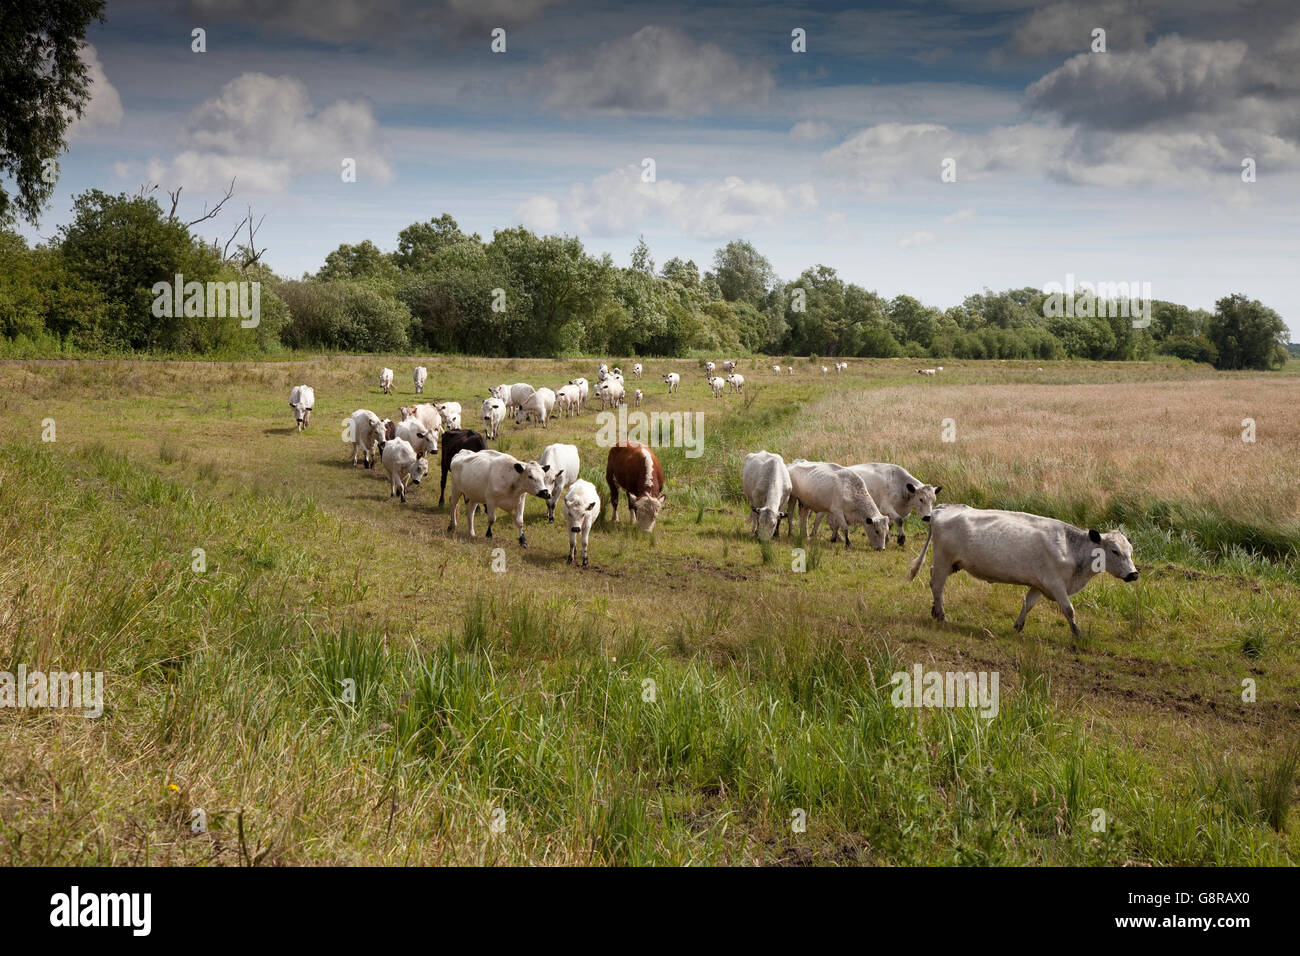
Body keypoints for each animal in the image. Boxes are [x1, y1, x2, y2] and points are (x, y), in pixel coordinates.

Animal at [906, 505, 1140, 636]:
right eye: (1115, 551)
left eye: (1130, 551)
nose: (1134, 574)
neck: (1072, 549)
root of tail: (942, 509)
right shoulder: (1056, 584)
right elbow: (1069, 610)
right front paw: (1078, 633)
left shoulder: (1039, 585)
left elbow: (1028, 604)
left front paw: (1018, 626)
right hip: (944, 559)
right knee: (937, 584)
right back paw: (941, 615)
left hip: (949, 563)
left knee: (933, 580)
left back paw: (935, 610)